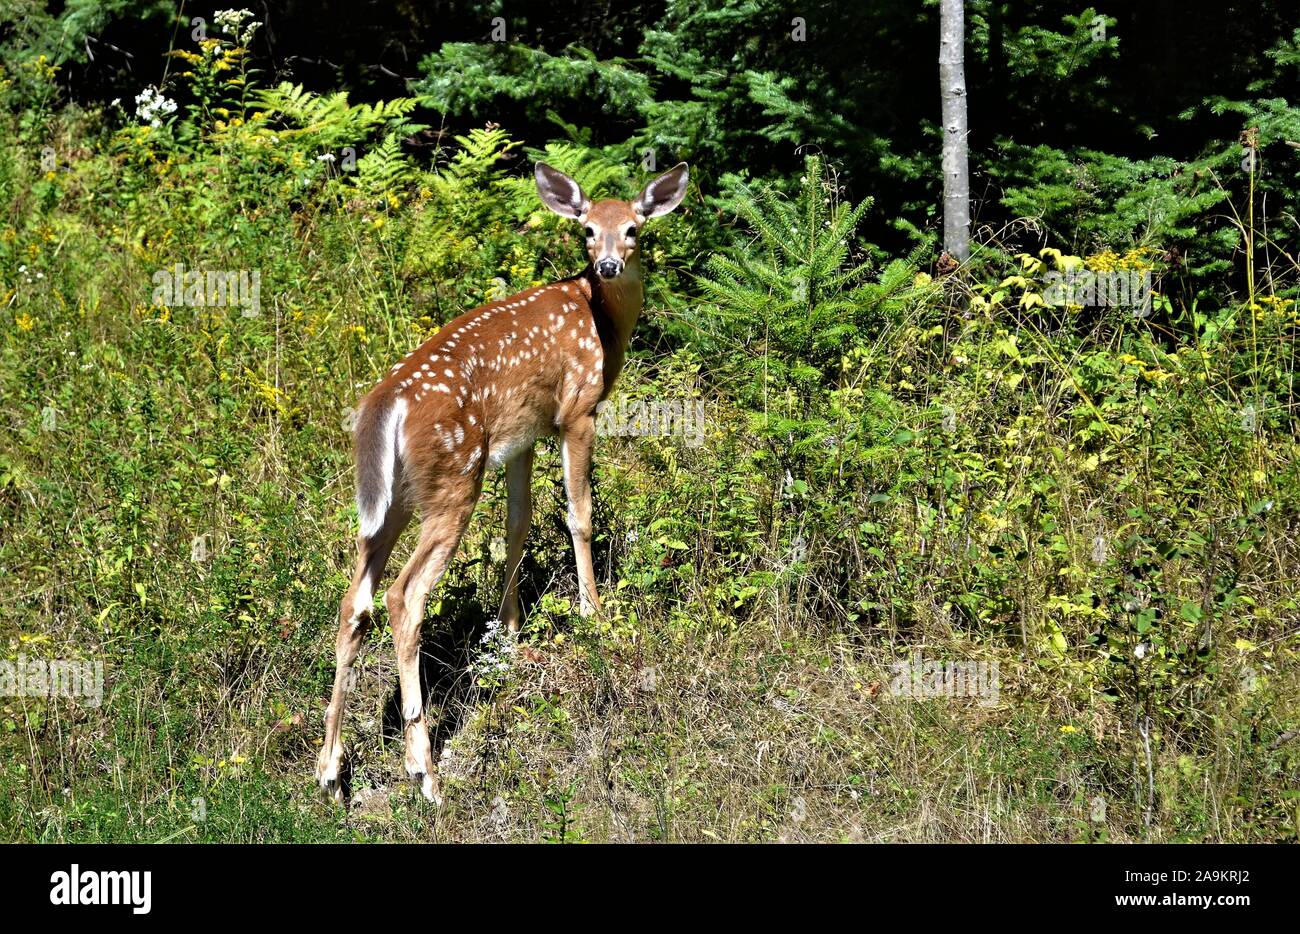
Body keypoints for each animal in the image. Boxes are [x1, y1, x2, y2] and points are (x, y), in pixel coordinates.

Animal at [316, 160, 690, 803]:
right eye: (587, 230)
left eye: (633, 229)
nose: (608, 265)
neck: (602, 322)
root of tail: (384, 406)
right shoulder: (576, 410)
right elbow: (578, 514)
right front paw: (593, 614)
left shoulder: (523, 435)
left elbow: (517, 526)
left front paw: (510, 635)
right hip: (454, 477)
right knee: (403, 596)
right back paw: (424, 771)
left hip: (392, 500)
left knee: (354, 600)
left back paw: (330, 770)